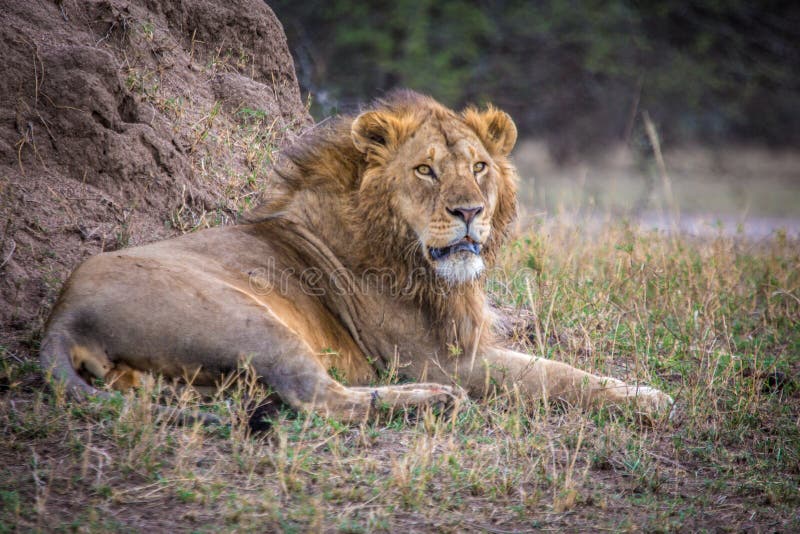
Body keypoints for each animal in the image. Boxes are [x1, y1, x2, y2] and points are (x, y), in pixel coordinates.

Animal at [40, 90, 672, 424]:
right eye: (425, 170)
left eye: (479, 167)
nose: (470, 211)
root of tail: (62, 312)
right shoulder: (434, 358)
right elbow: (554, 374)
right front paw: (648, 398)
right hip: (248, 320)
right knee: (319, 398)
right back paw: (429, 403)